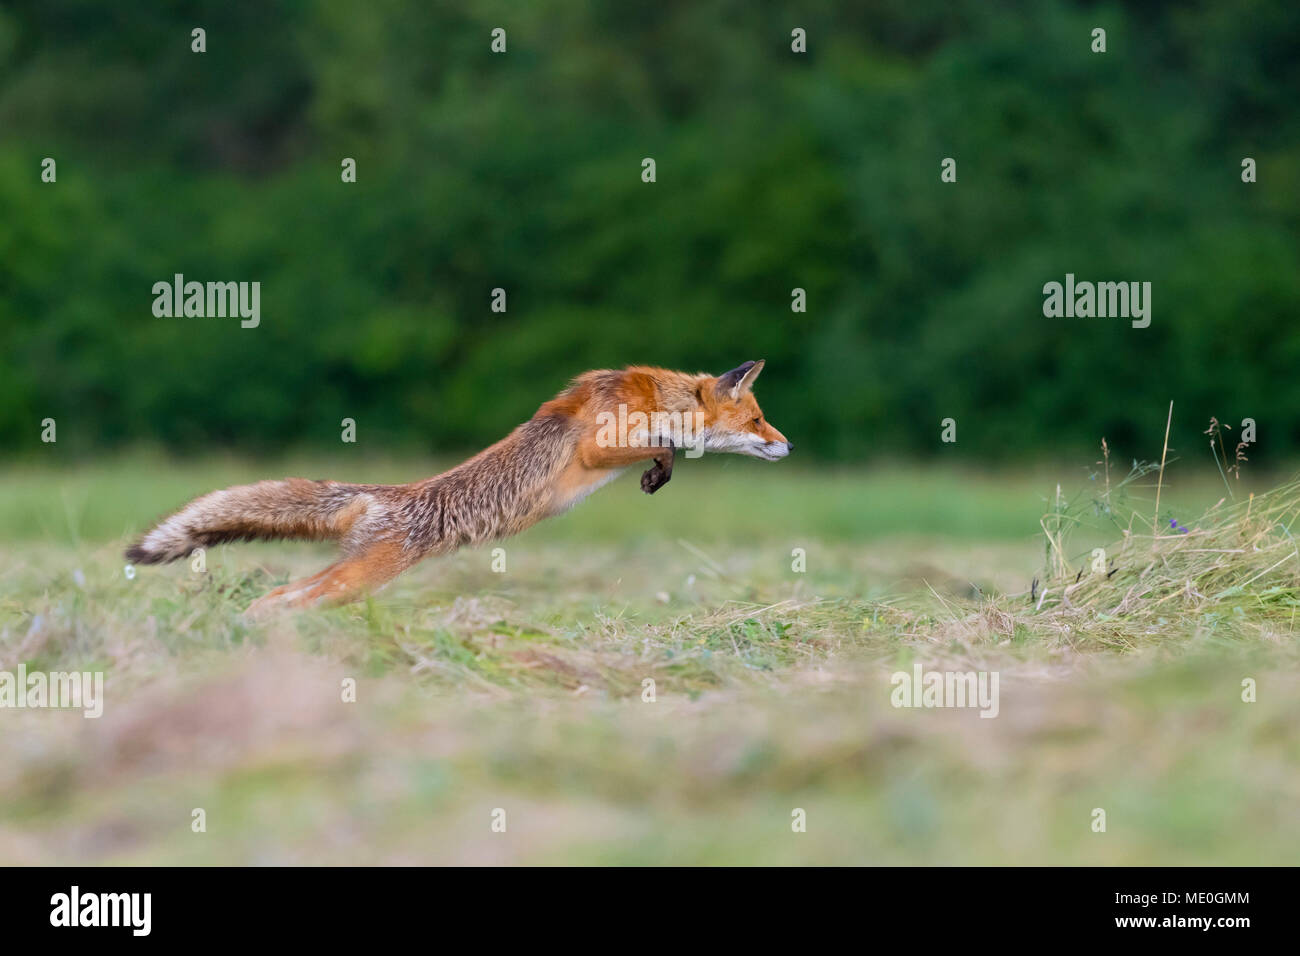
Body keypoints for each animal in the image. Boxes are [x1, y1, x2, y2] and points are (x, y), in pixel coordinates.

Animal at [125, 360, 792, 616]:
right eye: (760, 419)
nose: (787, 445)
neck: (655, 397)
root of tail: (386, 496)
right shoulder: (596, 444)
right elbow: (662, 443)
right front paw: (661, 465)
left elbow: (667, 444)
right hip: (362, 578)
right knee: (294, 600)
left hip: (350, 571)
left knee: (280, 595)